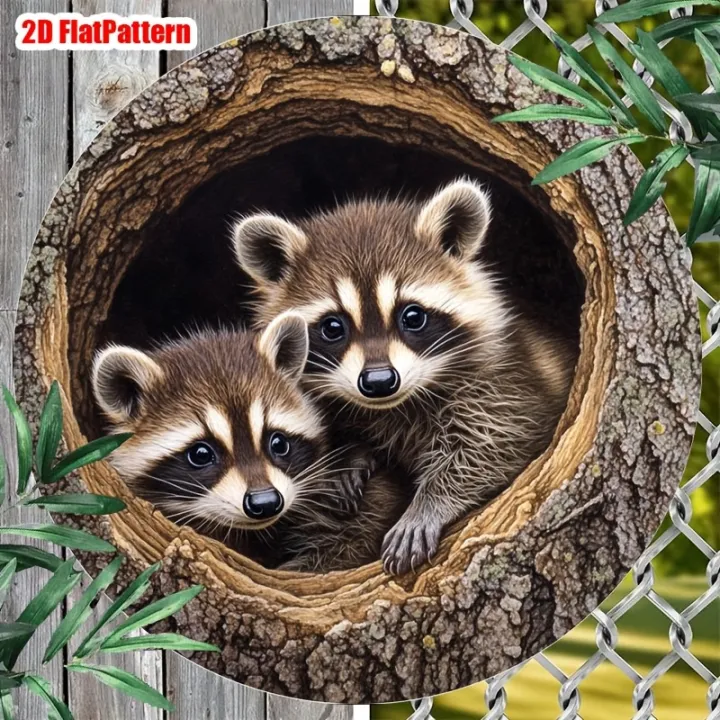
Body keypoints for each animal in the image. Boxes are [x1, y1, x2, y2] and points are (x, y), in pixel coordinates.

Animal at [232, 179, 577, 575]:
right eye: (333, 327)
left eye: (412, 317)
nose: (379, 381)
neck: (392, 405)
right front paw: (351, 452)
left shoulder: (502, 383)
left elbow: (492, 445)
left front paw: (429, 503)